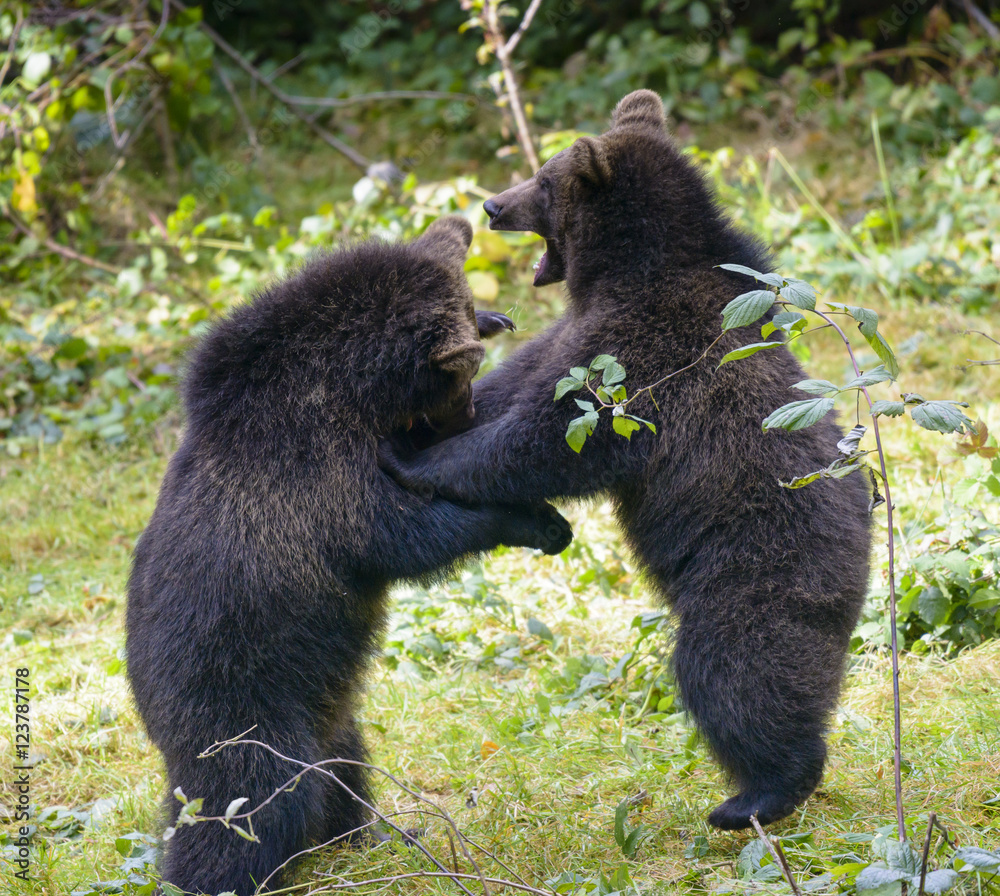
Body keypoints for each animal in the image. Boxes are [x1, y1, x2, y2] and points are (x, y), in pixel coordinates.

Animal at [124, 215, 573, 896]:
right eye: (461, 381)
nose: (470, 409)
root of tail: (151, 717)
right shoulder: (317, 480)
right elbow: (403, 535)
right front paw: (534, 519)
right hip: (241, 703)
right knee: (253, 803)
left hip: (328, 709)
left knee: (342, 767)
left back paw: (367, 834)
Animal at [379, 91, 873, 831]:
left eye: (544, 180)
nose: (493, 204)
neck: (626, 272)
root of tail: (863, 572)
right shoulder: (568, 339)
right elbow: (512, 389)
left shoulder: (640, 361)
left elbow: (552, 437)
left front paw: (417, 460)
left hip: (753, 569)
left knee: (733, 668)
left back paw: (758, 792)